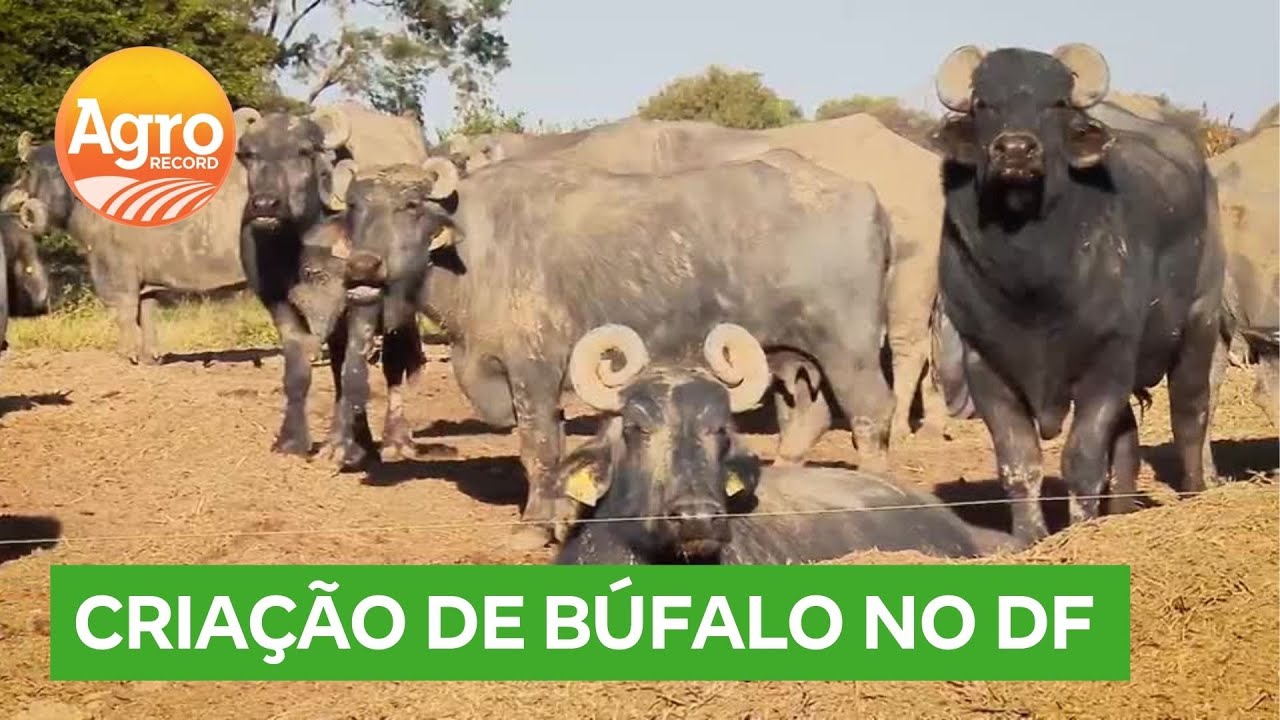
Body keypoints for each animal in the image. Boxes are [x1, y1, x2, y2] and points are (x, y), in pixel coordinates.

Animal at [930, 43, 1227, 543]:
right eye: (984, 103)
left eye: (1057, 103)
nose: (1015, 149)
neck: (1030, 284)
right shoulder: (985, 365)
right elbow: (1019, 462)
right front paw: (1029, 537)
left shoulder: (1108, 359)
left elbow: (1083, 459)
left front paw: (1082, 531)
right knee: (1127, 437)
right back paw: (1121, 513)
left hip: (1197, 323)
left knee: (1190, 413)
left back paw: (1194, 493)